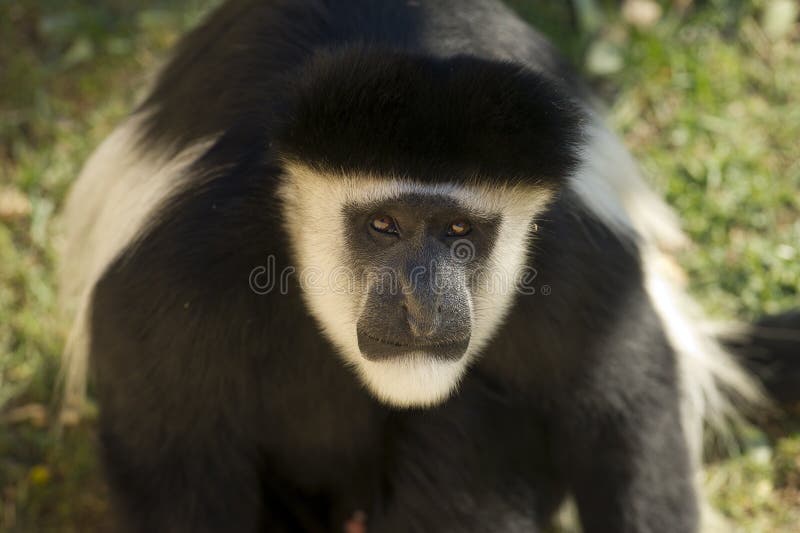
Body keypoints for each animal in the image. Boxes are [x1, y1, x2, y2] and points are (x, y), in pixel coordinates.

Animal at [58, 1, 800, 532]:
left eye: (459, 231)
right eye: (382, 226)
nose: (421, 303)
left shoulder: (575, 267)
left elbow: (623, 409)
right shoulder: (178, 282)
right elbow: (172, 459)